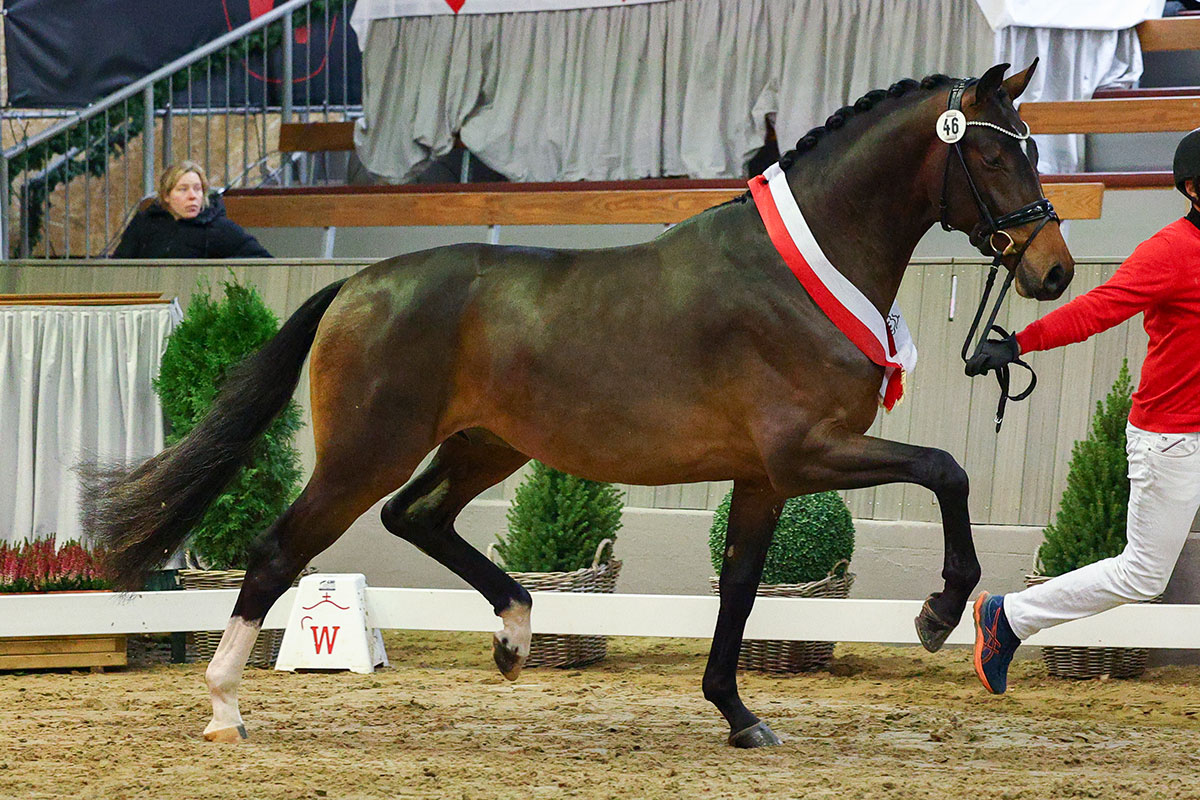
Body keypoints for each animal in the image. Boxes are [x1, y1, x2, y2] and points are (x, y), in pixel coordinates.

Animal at [89, 61, 1073, 748]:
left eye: (1032, 146)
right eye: (993, 151)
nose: (1054, 269)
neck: (799, 271)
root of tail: (358, 284)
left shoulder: (764, 478)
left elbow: (741, 588)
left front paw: (737, 713)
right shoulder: (807, 451)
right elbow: (946, 471)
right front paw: (939, 612)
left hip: (486, 445)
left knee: (418, 517)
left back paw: (517, 634)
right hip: (367, 453)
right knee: (279, 551)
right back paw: (224, 708)